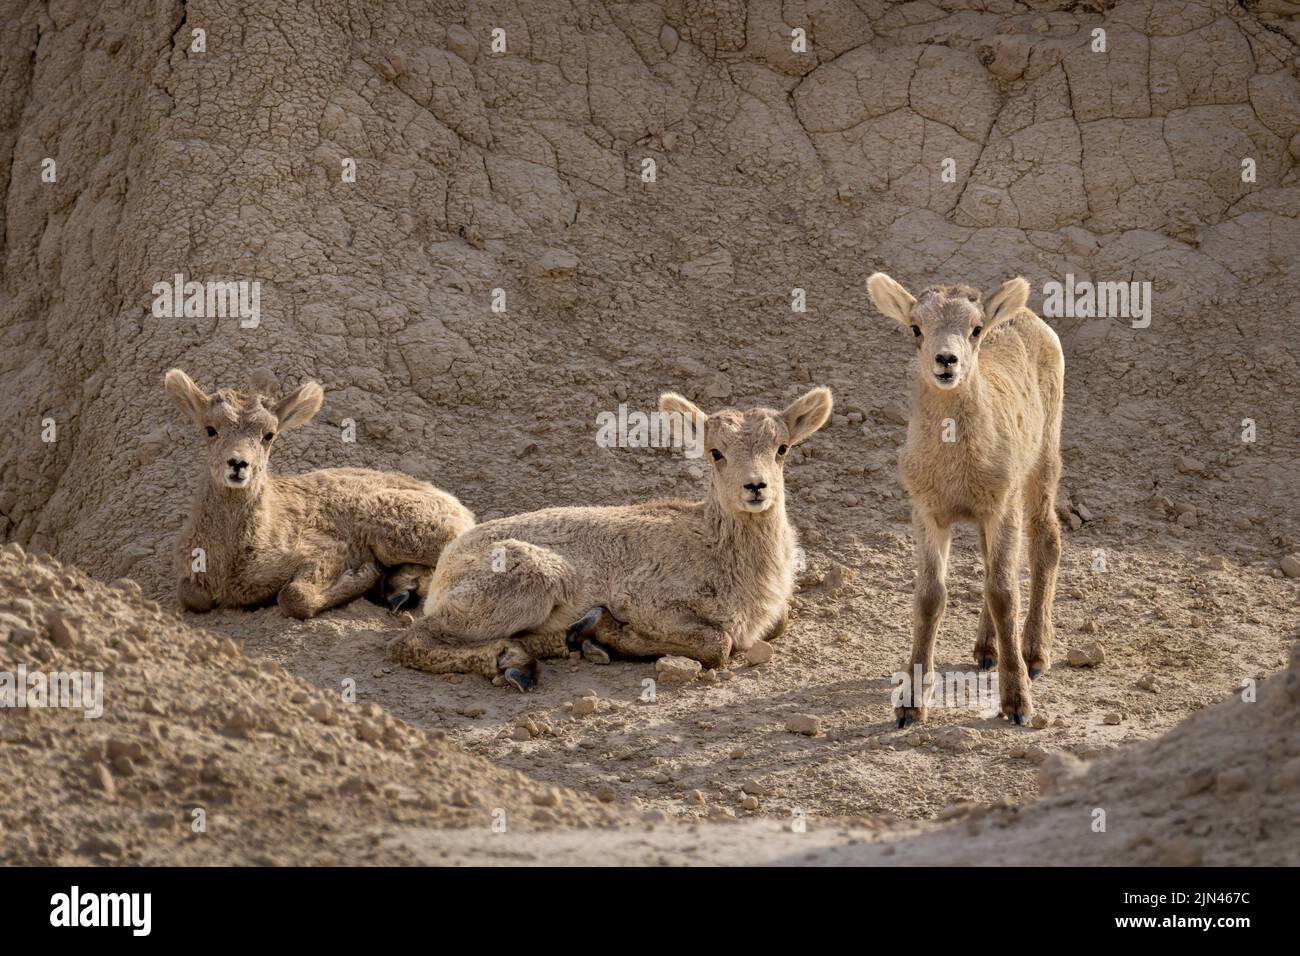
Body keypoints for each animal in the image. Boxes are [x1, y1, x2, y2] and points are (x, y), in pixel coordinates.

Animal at [164, 368, 474, 619]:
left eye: (269, 435)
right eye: (210, 429)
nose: (238, 464)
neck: (233, 558)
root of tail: (458, 506)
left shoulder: (323, 552)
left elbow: (294, 597)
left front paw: (363, 576)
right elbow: (191, 596)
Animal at [388, 387, 834, 691]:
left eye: (782, 448)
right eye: (715, 453)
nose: (755, 487)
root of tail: (446, 567)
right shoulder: (645, 600)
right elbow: (718, 643)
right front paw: (607, 633)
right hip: (529, 578)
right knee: (410, 641)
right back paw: (515, 662)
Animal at [866, 273, 1064, 726]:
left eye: (975, 329)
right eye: (916, 327)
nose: (946, 360)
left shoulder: (1002, 506)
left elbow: (1004, 594)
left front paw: (1017, 704)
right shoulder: (929, 514)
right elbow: (930, 597)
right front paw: (910, 705)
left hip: (1044, 457)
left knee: (1045, 539)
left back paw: (1034, 653)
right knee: (991, 563)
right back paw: (986, 651)